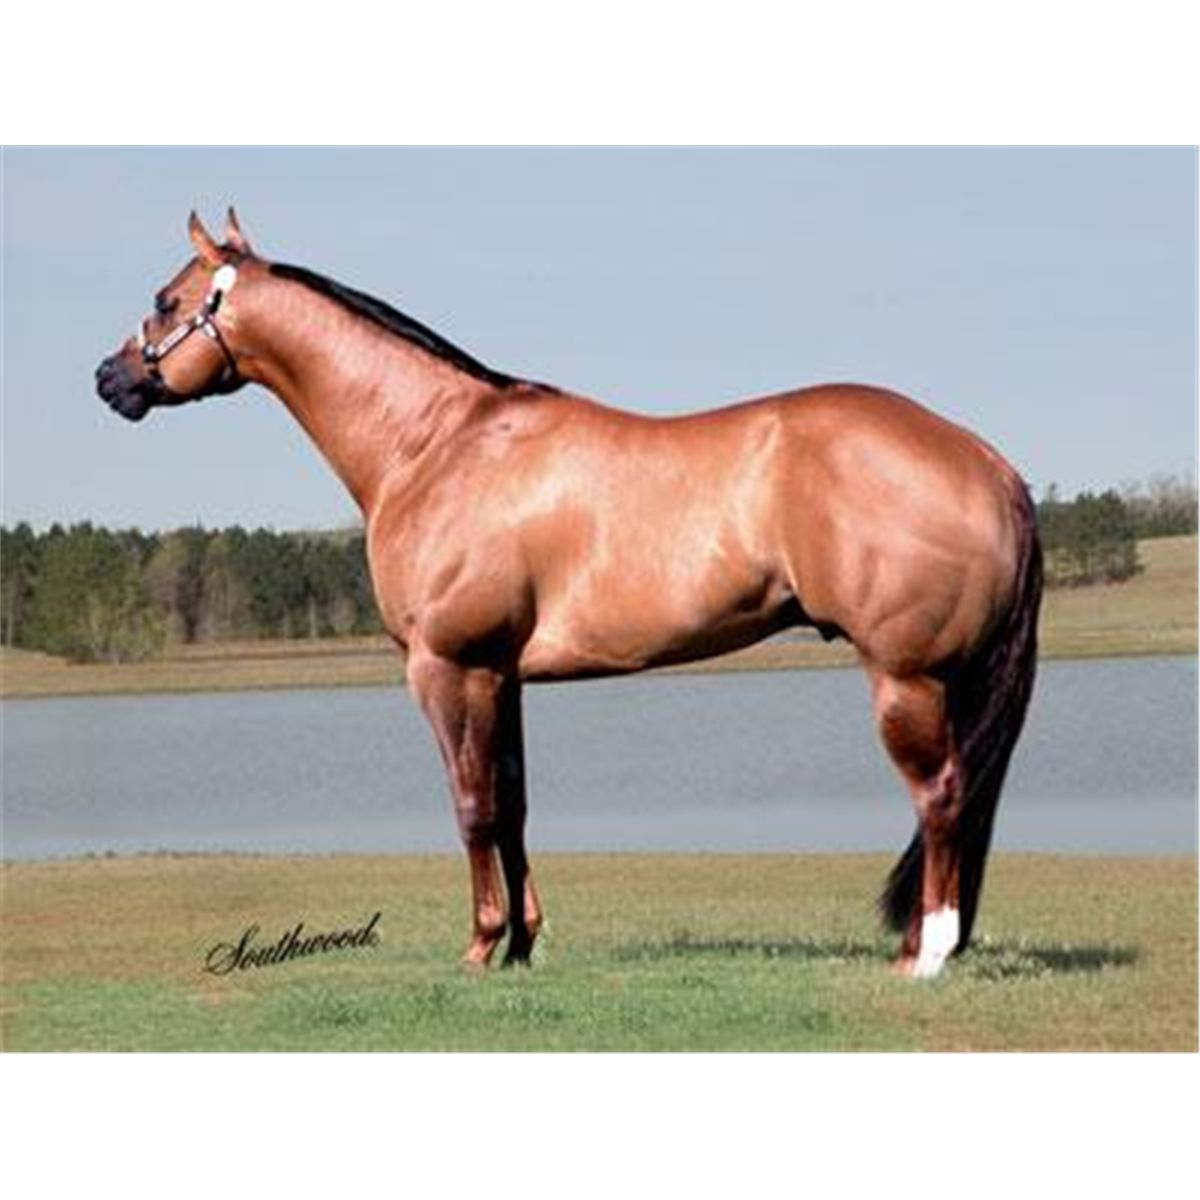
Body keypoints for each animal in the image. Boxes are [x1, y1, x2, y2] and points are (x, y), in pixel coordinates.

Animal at [96, 210, 1042, 978]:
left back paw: (927, 956)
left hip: (907, 678)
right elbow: (513, 806)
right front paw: (522, 942)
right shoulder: (501, 676)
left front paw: (481, 945)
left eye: (167, 300)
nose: (110, 379)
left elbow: (473, 806)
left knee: (942, 796)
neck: (434, 444)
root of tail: (988, 462)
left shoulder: (448, 666)